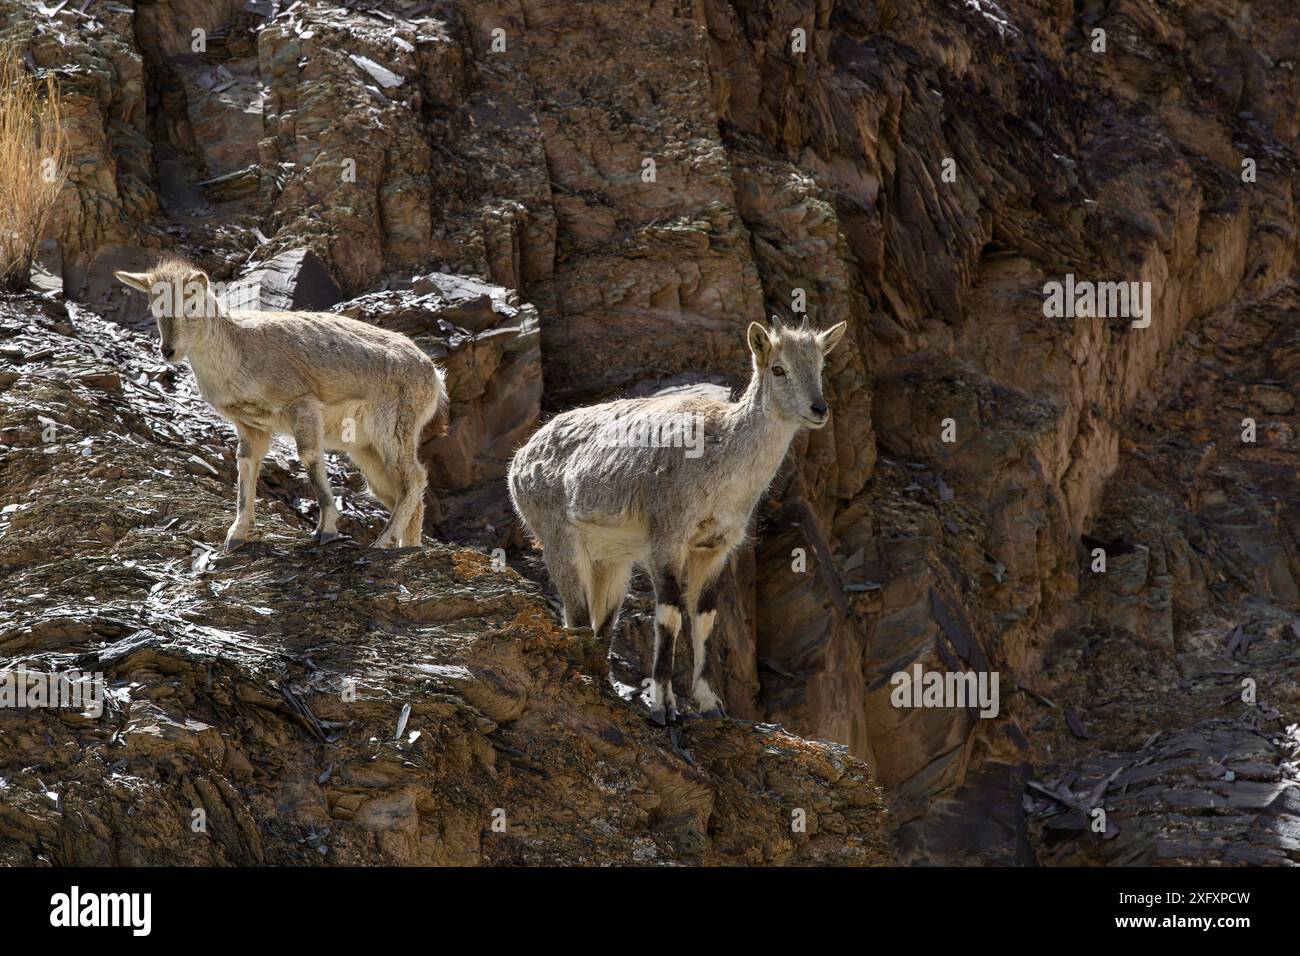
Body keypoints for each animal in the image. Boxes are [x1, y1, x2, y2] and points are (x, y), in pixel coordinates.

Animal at [115, 258, 447, 550]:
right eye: (154, 305)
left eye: (191, 304)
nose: (168, 351)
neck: (240, 354)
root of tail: (433, 376)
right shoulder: (250, 425)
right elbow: (246, 464)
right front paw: (235, 536)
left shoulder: (302, 406)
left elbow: (309, 457)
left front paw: (325, 530)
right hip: (366, 450)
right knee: (399, 492)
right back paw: (405, 546)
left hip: (391, 430)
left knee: (415, 479)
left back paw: (382, 542)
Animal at [508, 316, 848, 724]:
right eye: (778, 369)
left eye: (819, 366)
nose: (818, 409)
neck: (720, 463)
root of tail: (520, 458)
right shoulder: (666, 539)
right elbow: (669, 615)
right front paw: (663, 706)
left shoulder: (714, 548)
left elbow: (704, 618)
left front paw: (709, 702)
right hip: (559, 539)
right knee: (575, 614)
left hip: (612, 560)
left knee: (602, 624)